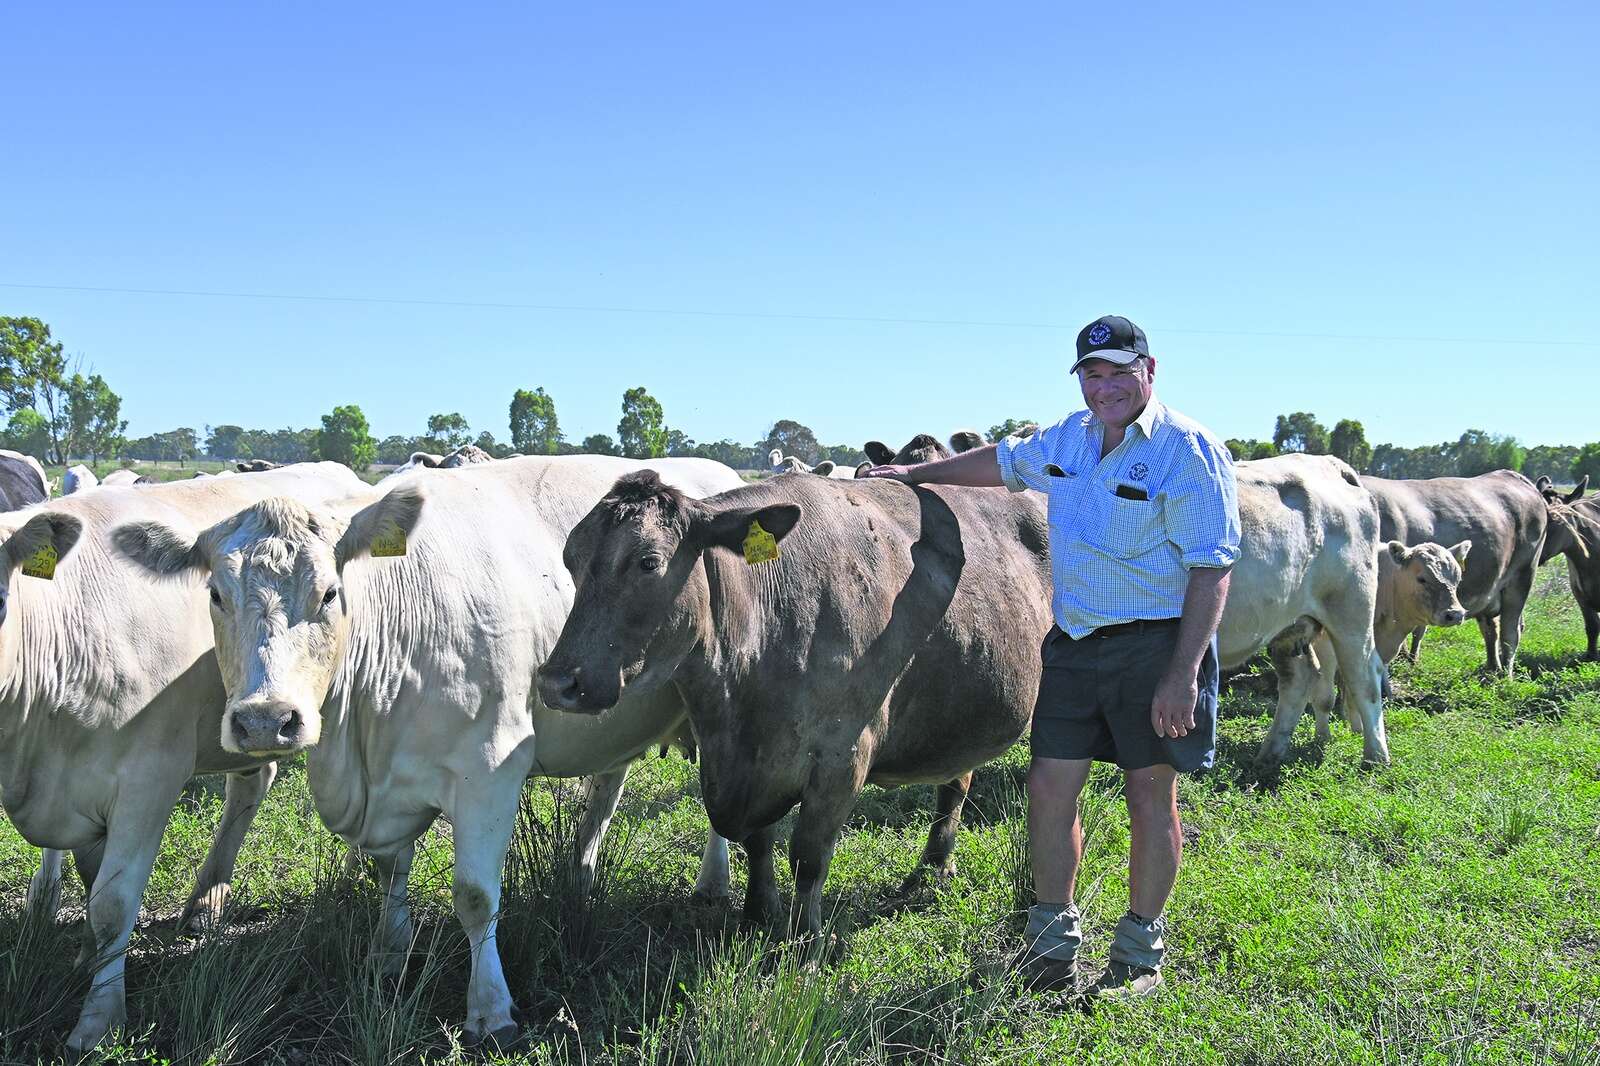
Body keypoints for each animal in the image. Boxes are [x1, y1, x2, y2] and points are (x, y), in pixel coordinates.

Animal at [0, 462, 368, 1054]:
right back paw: (206, 898)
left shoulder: (149, 777)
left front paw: (98, 1022)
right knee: (252, 780)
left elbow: (111, 903)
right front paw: (85, 957)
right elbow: (91, 878)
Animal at [112, 455, 747, 1050]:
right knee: (608, 787)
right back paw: (582, 872)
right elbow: (390, 868)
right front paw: (389, 953)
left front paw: (490, 1011)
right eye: (216, 595)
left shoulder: (491, 768)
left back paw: (712, 882)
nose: (267, 719)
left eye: (329, 593)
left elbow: (475, 897)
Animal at [535, 470, 1054, 939]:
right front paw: (757, 916)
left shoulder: (843, 756)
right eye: (570, 559)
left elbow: (808, 856)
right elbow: (758, 844)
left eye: (648, 562)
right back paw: (933, 868)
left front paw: (806, 945)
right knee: (955, 781)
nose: (557, 681)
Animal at [1216, 454, 1389, 768]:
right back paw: (1270, 754)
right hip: (1289, 623)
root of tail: (1329, 462)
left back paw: (1376, 756)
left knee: (1365, 675)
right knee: (1299, 678)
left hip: (1351, 610)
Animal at [1362, 472, 1548, 675]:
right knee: (1490, 629)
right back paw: (1492, 669)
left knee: (1510, 633)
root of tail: (1512, 476)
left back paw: (1506, 675)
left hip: (1521, 580)